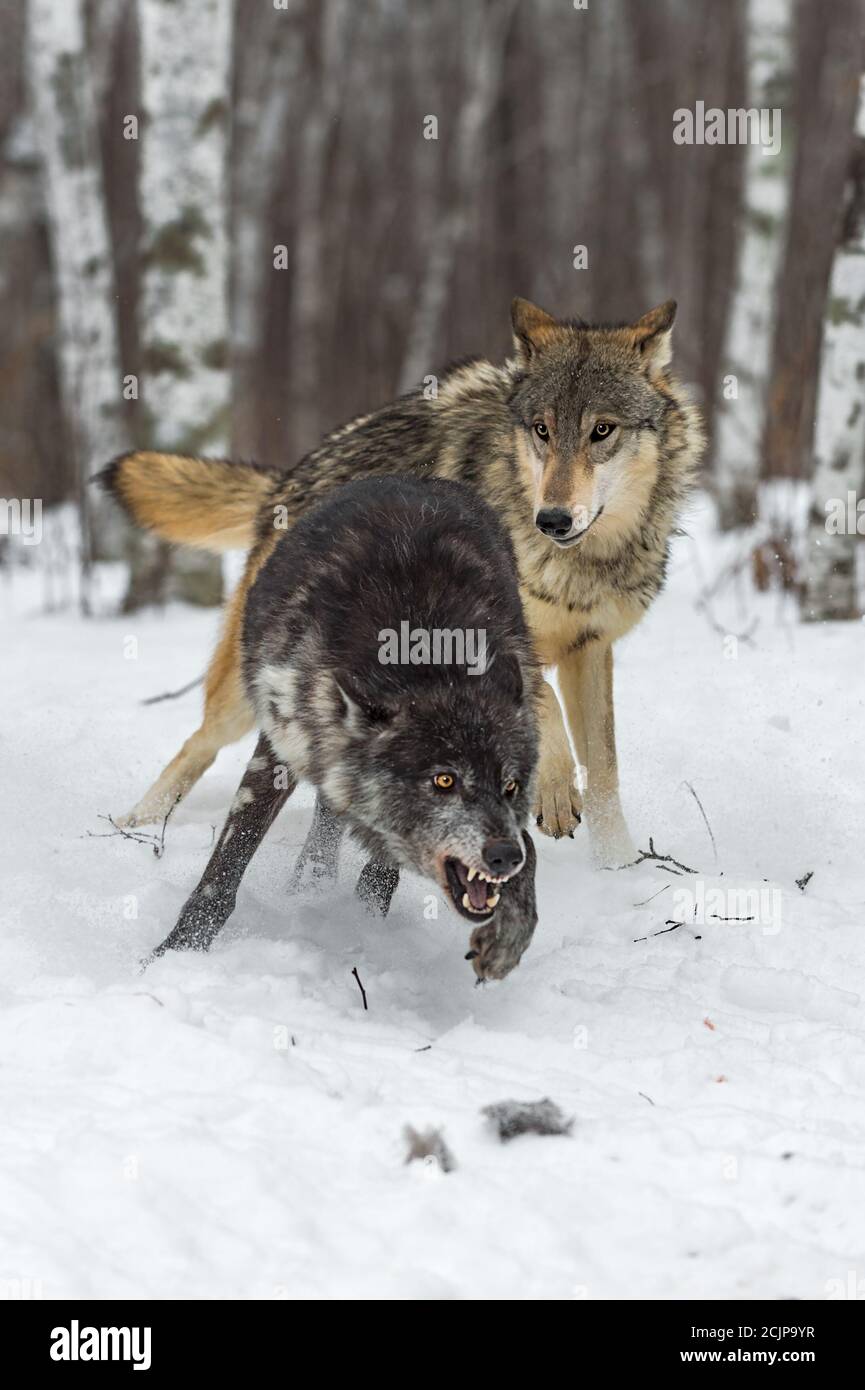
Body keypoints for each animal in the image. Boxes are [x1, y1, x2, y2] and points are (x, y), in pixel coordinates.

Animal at [101, 297, 703, 866]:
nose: (552, 519)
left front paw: (618, 866)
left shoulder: (590, 649)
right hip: (243, 698)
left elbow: (604, 770)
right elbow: (545, 701)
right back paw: (134, 824)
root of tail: (290, 477)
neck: (579, 563)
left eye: (602, 430)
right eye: (542, 430)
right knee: (196, 743)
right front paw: (555, 793)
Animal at [148, 475, 539, 981]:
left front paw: (508, 936)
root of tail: (413, 476)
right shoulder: (279, 750)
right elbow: (224, 872)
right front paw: (174, 954)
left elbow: (527, 852)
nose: (502, 856)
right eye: (444, 780)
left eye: (511, 786)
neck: (429, 659)